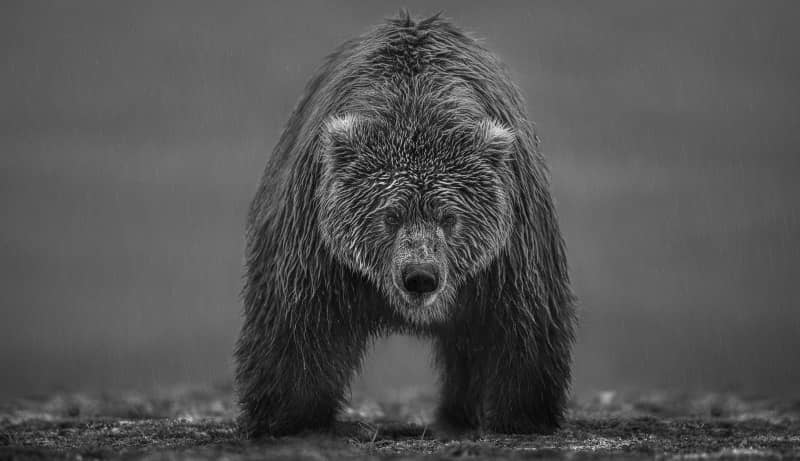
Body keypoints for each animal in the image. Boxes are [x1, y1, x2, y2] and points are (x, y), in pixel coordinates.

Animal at [234, 12, 576, 438]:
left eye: (449, 216)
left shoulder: (506, 255)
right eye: (391, 214)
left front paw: (520, 416)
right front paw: (290, 418)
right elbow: (297, 326)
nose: (420, 276)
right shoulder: (320, 249)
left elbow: (519, 328)